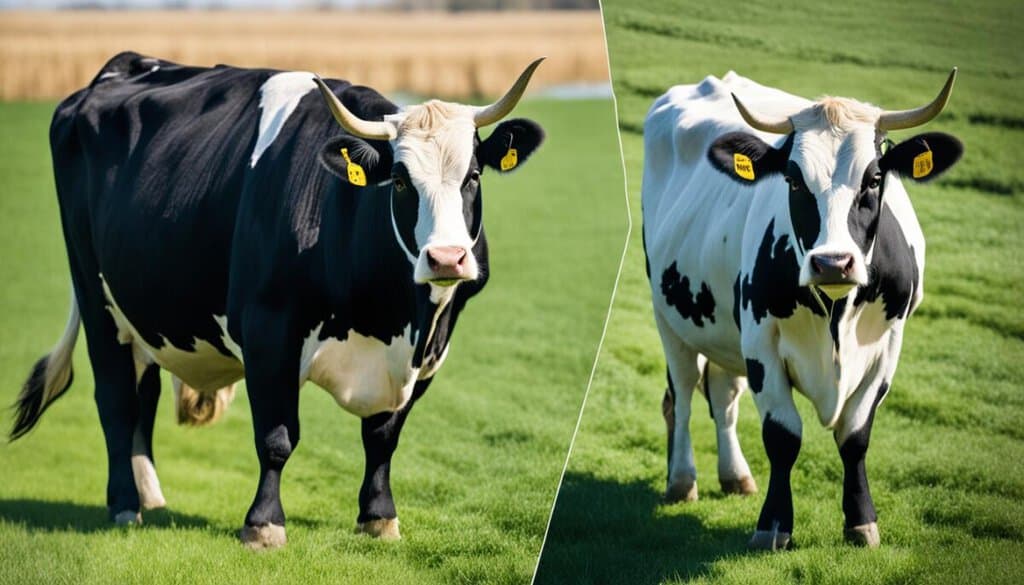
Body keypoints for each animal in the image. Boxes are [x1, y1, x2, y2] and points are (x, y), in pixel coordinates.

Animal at [9, 51, 547, 549]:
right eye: (398, 181)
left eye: (473, 177)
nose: (447, 258)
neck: (390, 316)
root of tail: (127, 65)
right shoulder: (270, 331)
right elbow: (277, 436)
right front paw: (263, 524)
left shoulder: (430, 349)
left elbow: (383, 437)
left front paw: (378, 517)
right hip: (96, 298)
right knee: (116, 399)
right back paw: (125, 504)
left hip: (144, 313)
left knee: (144, 393)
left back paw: (151, 497)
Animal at [642, 70, 962, 550]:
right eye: (792, 180)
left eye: (874, 178)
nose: (833, 262)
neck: (836, 315)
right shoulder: (761, 343)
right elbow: (783, 436)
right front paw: (773, 524)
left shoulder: (888, 347)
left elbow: (855, 436)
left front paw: (861, 522)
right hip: (671, 319)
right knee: (681, 398)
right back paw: (682, 481)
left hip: (723, 332)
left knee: (723, 399)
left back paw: (735, 476)